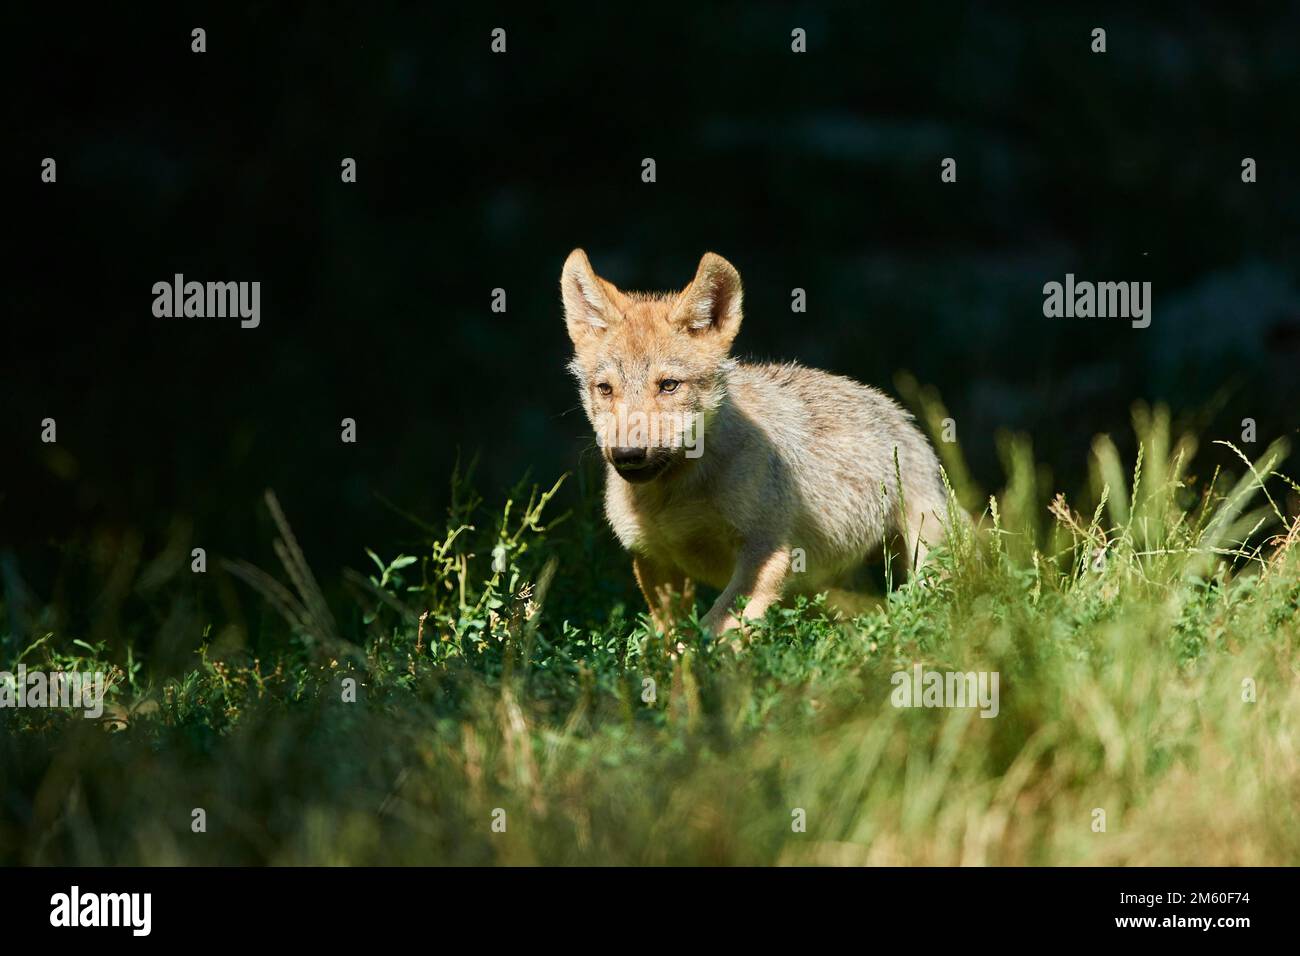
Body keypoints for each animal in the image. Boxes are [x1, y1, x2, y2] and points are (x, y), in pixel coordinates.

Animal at [562, 249, 951, 638]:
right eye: (605, 389)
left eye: (669, 385)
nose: (626, 454)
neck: (675, 496)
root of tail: (903, 418)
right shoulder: (653, 561)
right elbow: (672, 640)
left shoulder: (767, 555)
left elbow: (712, 630)